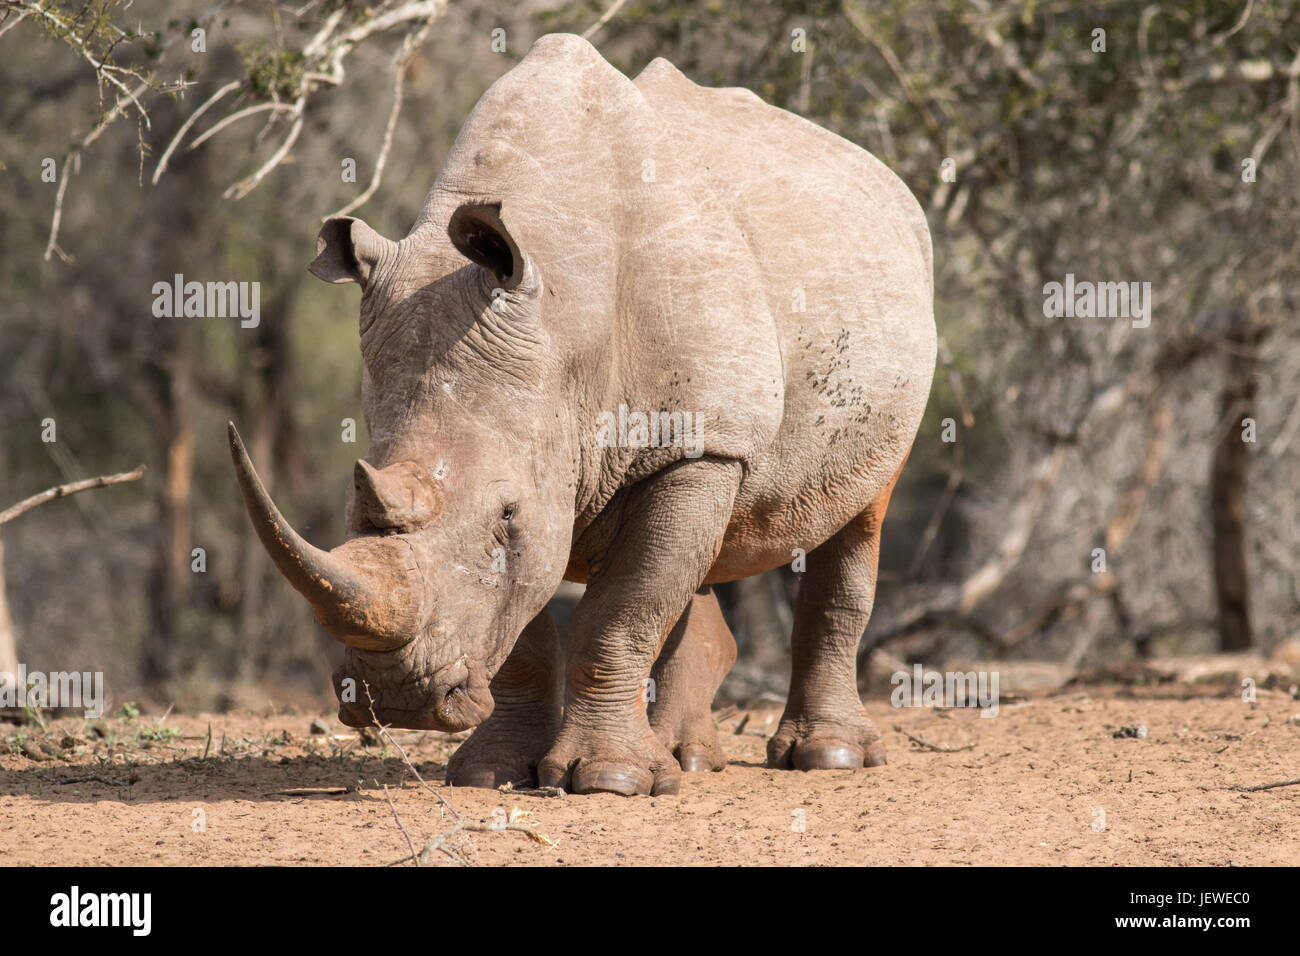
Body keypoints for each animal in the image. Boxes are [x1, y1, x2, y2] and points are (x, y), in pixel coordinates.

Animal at [229, 33, 935, 796]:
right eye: (351, 509)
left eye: (505, 518)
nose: (396, 699)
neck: (565, 323)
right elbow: (541, 627)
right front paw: (490, 773)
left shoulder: (703, 442)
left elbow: (619, 611)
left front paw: (610, 781)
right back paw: (687, 758)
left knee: (861, 510)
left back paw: (827, 757)